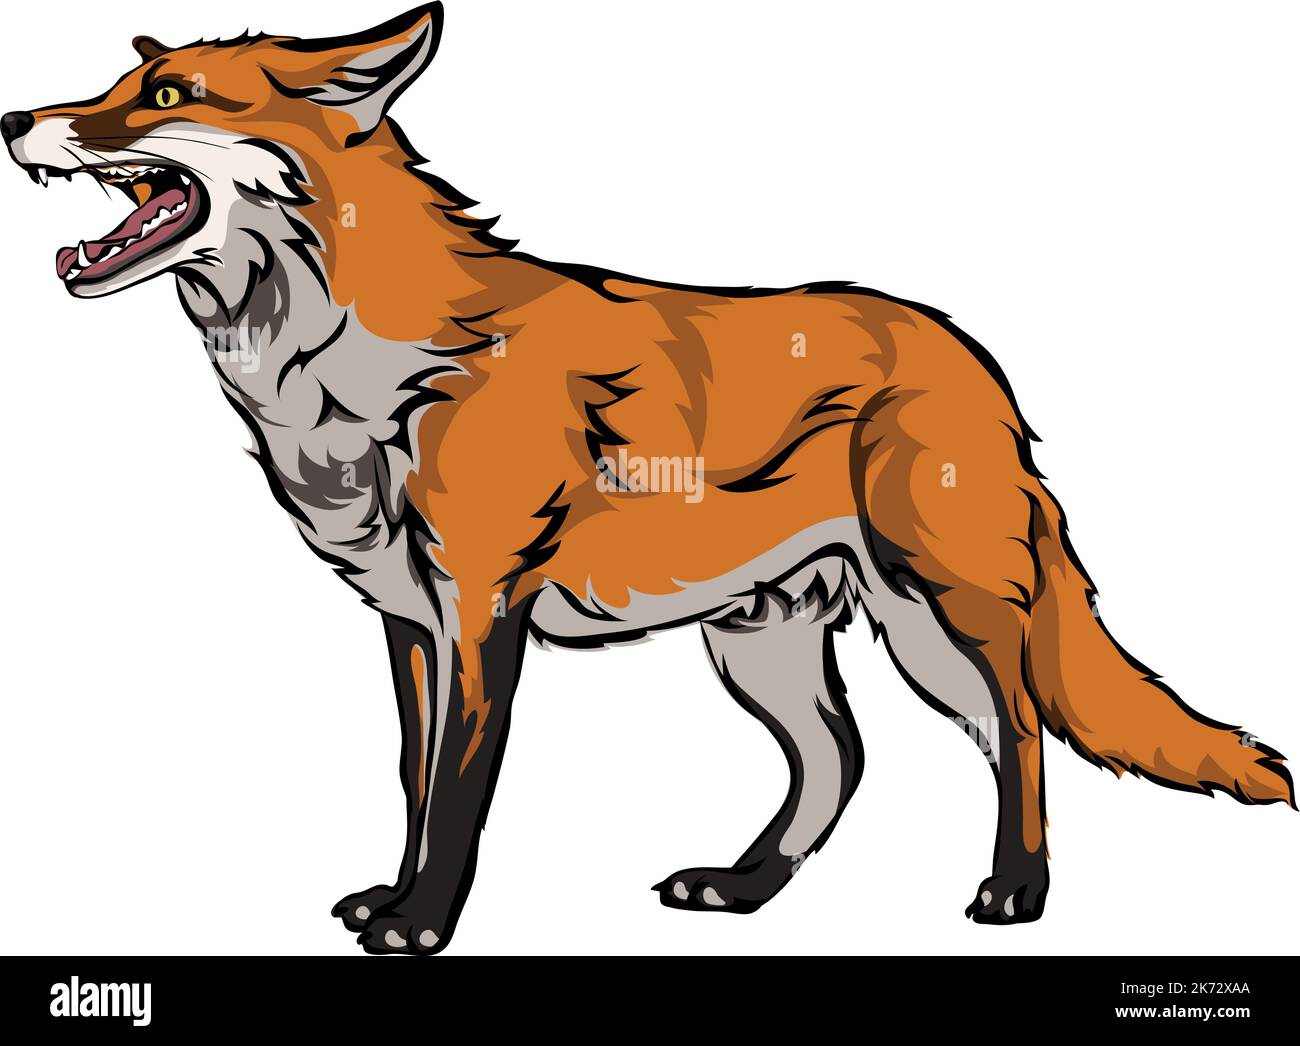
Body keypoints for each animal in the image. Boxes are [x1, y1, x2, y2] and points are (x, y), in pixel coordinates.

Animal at [4, 3, 1293, 955]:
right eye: (120, 81)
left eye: (168, 99)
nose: (15, 115)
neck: (358, 372)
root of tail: (970, 352)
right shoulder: (405, 619)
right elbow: (410, 781)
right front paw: (393, 893)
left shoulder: (482, 608)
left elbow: (457, 792)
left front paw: (423, 923)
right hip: (763, 639)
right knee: (841, 757)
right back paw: (746, 887)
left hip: (942, 609)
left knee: (1016, 730)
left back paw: (1016, 891)